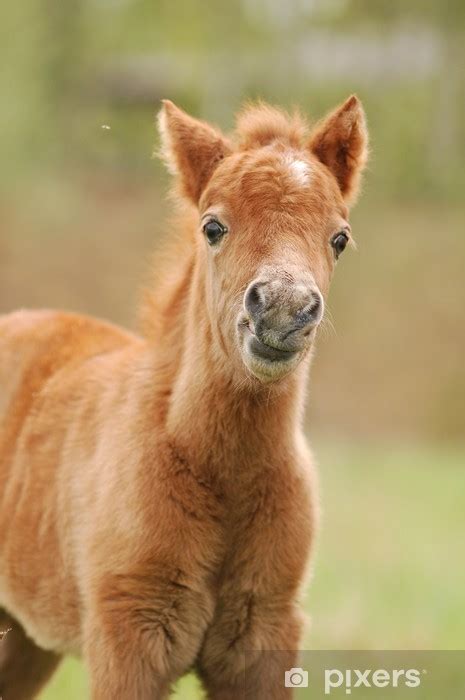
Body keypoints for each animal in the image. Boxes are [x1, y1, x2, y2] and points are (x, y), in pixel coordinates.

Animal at [0, 95, 368, 699]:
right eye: (213, 227)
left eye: (339, 239)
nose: (283, 310)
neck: (226, 477)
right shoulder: (128, 636)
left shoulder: (265, 638)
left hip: (28, 638)